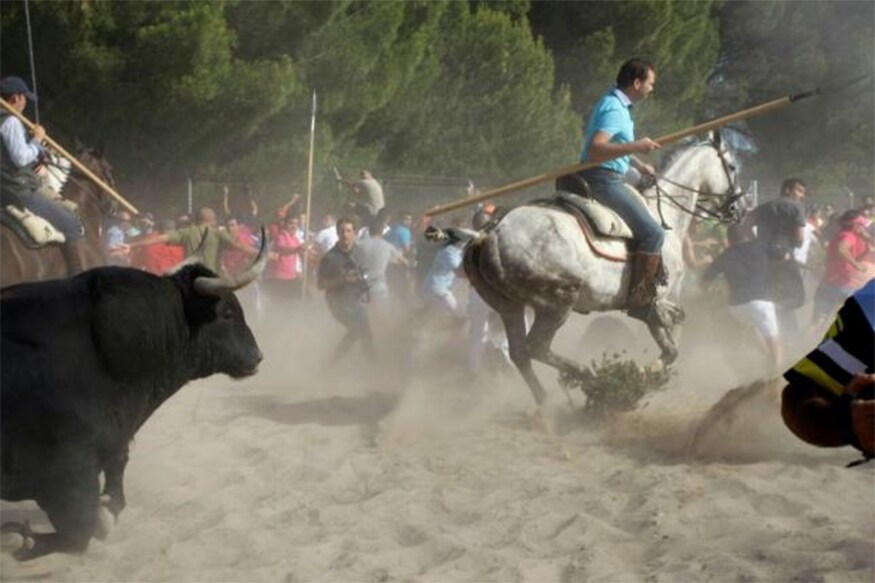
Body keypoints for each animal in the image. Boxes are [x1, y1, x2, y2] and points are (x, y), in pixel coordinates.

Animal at [0, 233, 267, 560]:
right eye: (227, 314)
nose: (257, 356)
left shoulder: (112, 446)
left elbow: (113, 492)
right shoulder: (67, 474)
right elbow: (79, 533)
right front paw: (15, 538)